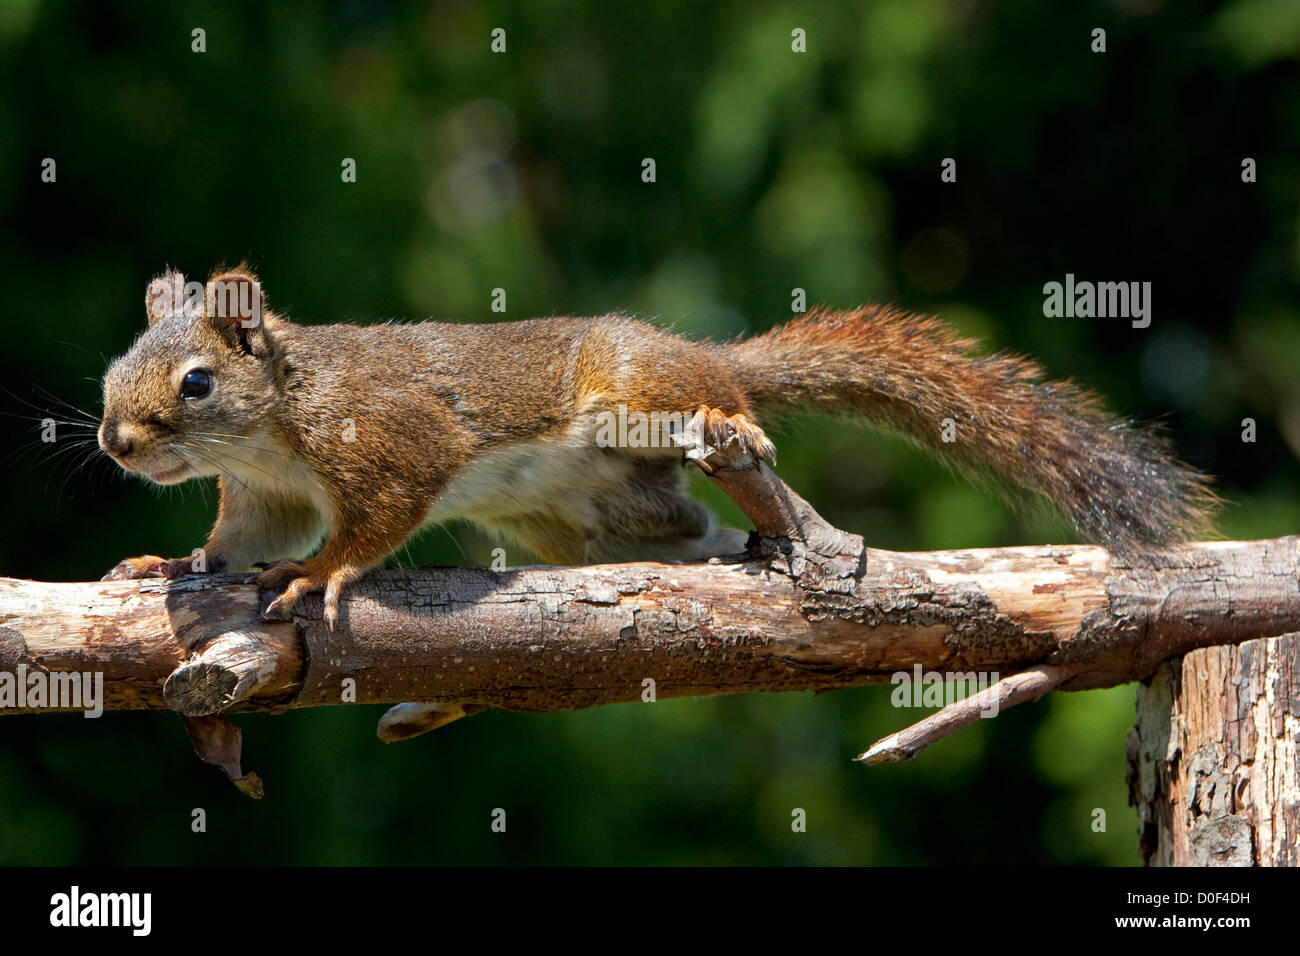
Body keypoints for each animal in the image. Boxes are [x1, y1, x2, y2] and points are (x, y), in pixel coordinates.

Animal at [99, 265, 1217, 633]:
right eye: (114, 368)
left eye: (195, 383)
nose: (114, 441)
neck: (277, 426)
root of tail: (705, 352)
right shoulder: (265, 495)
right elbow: (233, 544)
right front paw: (167, 561)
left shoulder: (391, 441)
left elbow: (372, 521)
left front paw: (317, 573)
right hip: (599, 517)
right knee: (688, 529)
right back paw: (732, 548)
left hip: (635, 393)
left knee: (715, 407)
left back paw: (739, 420)